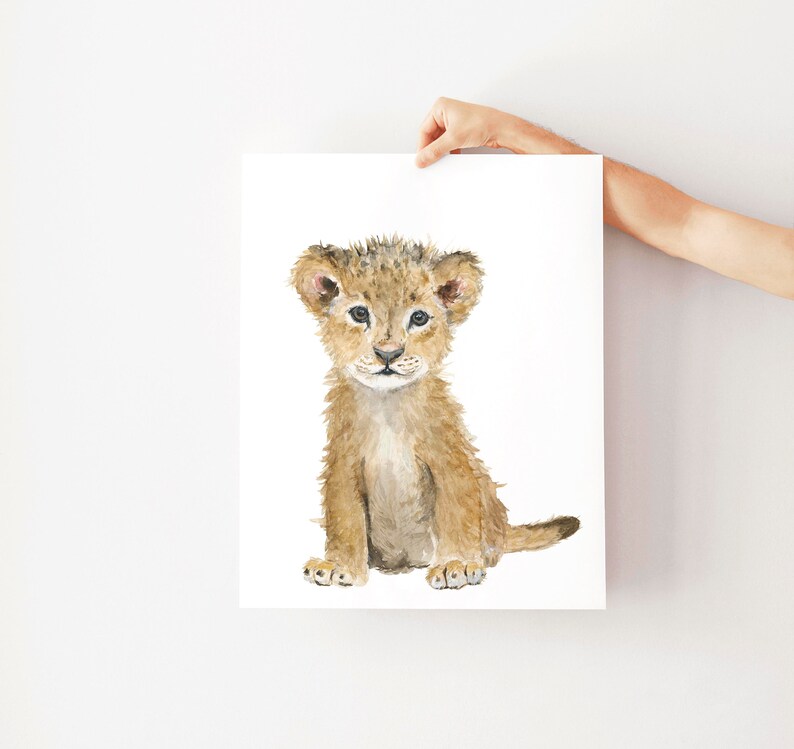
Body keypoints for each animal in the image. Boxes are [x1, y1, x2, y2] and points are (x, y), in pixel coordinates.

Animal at [291, 234, 579, 589]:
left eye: (418, 318)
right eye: (359, 313)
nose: (388, 354)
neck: (388, 406)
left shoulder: (451, 461)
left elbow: (458, 508)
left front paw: (457, 564)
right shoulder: (343, 465)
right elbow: (344, 517)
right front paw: (339, 566)